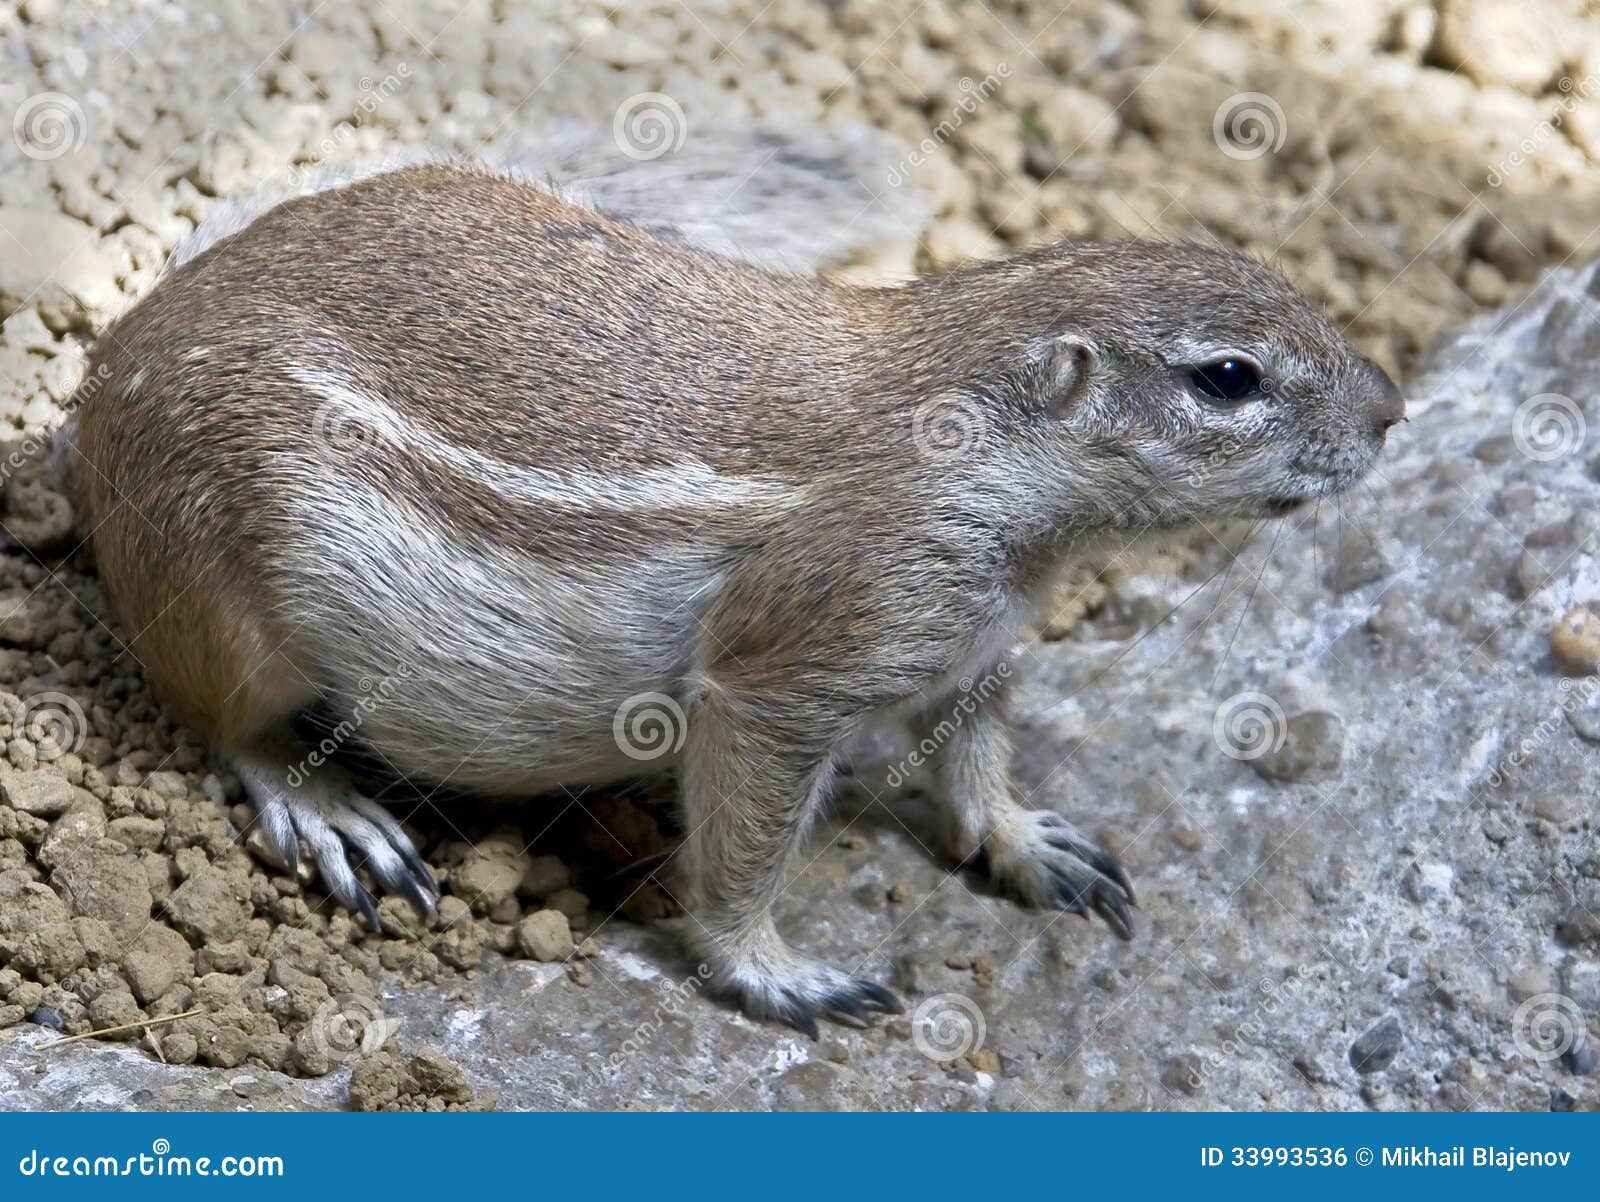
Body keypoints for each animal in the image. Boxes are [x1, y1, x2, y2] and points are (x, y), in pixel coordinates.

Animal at [61, 128, 1402, 1036]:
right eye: (1226, 377)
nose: (1394, 409)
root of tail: (124, 338)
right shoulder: (797, 663)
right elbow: (747, 846)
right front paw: (780, 970)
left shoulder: (978, 643)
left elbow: (977, 754)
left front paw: (1031, 841)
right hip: (221, 592)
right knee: (225, 722)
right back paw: (328, 806)